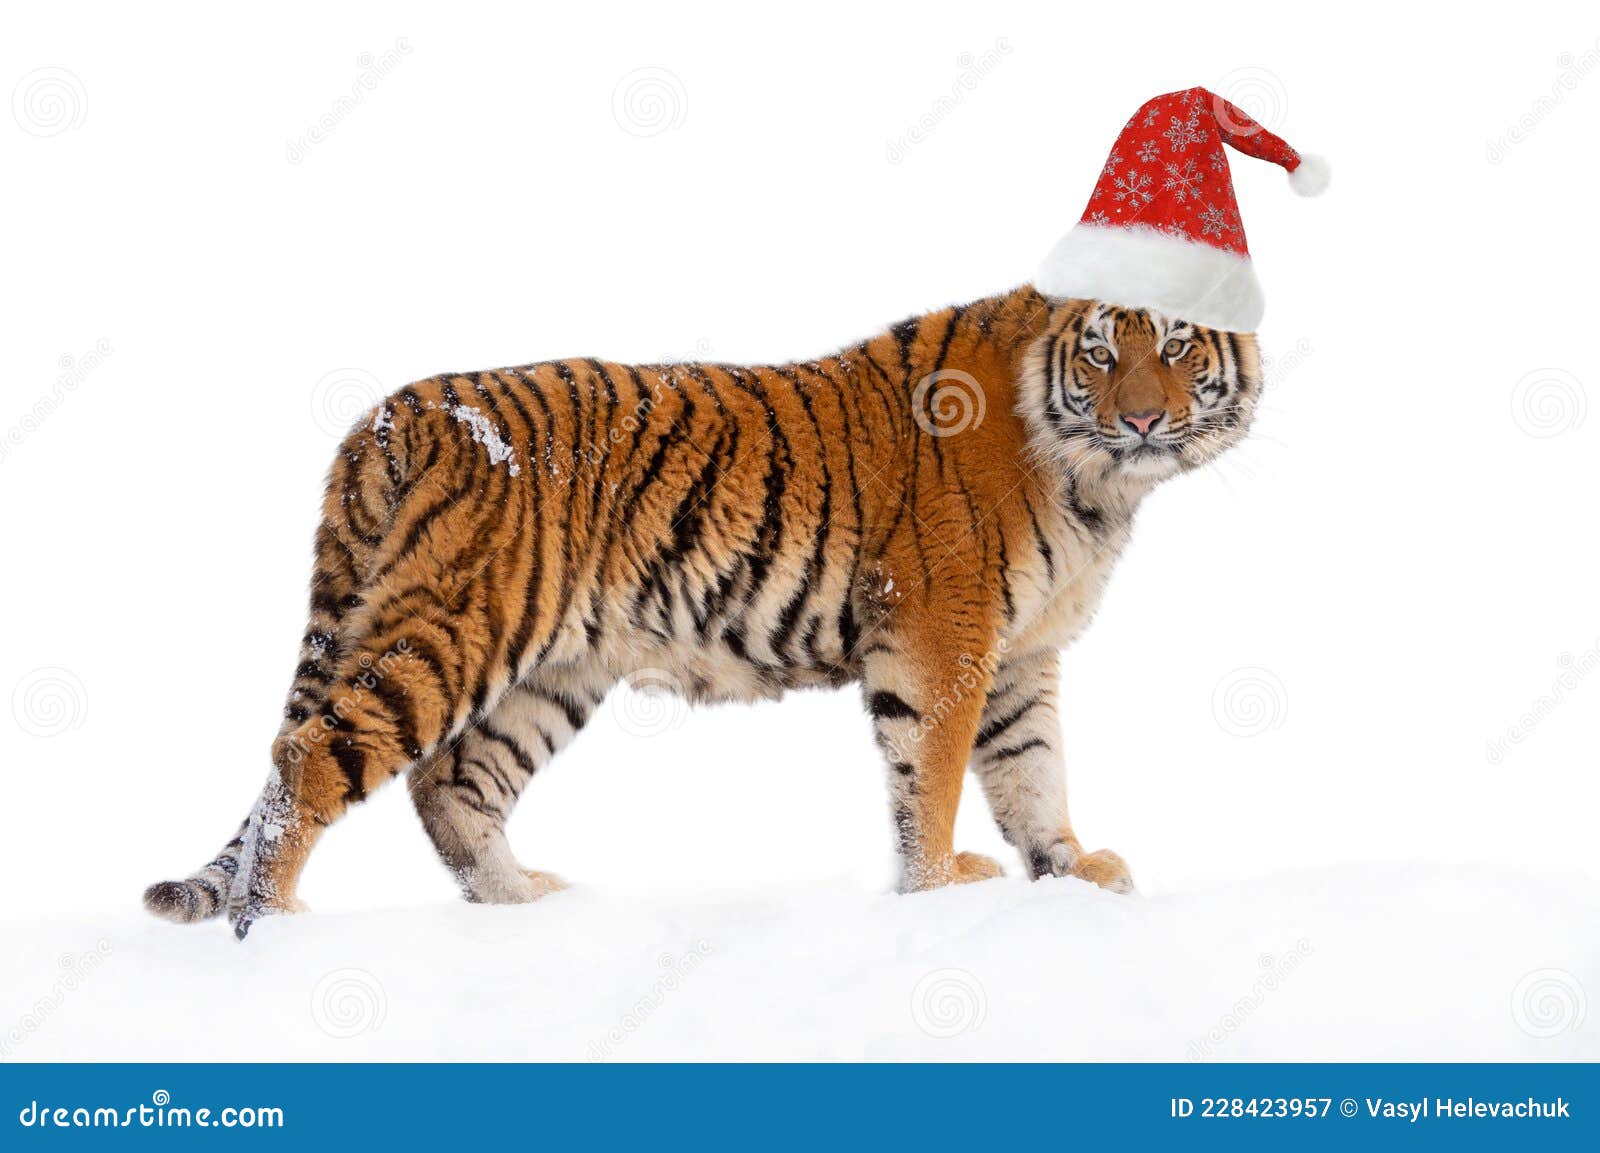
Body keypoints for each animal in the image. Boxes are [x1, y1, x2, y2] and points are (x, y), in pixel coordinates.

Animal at [142, 285, 1260, 937]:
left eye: (1173, 347)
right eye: (1102, 354)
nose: (1143, 419)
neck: (1095, 480)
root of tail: (395, 412)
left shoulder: (1023, 653)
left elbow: (1033, 769)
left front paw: (1071, 873)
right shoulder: (943, 633)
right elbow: (935, 777)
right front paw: (942, 890)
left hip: (553, 669)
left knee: (449, 784)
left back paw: (527, 907)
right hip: (456, 625)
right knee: (308, 759)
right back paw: (278, 929)